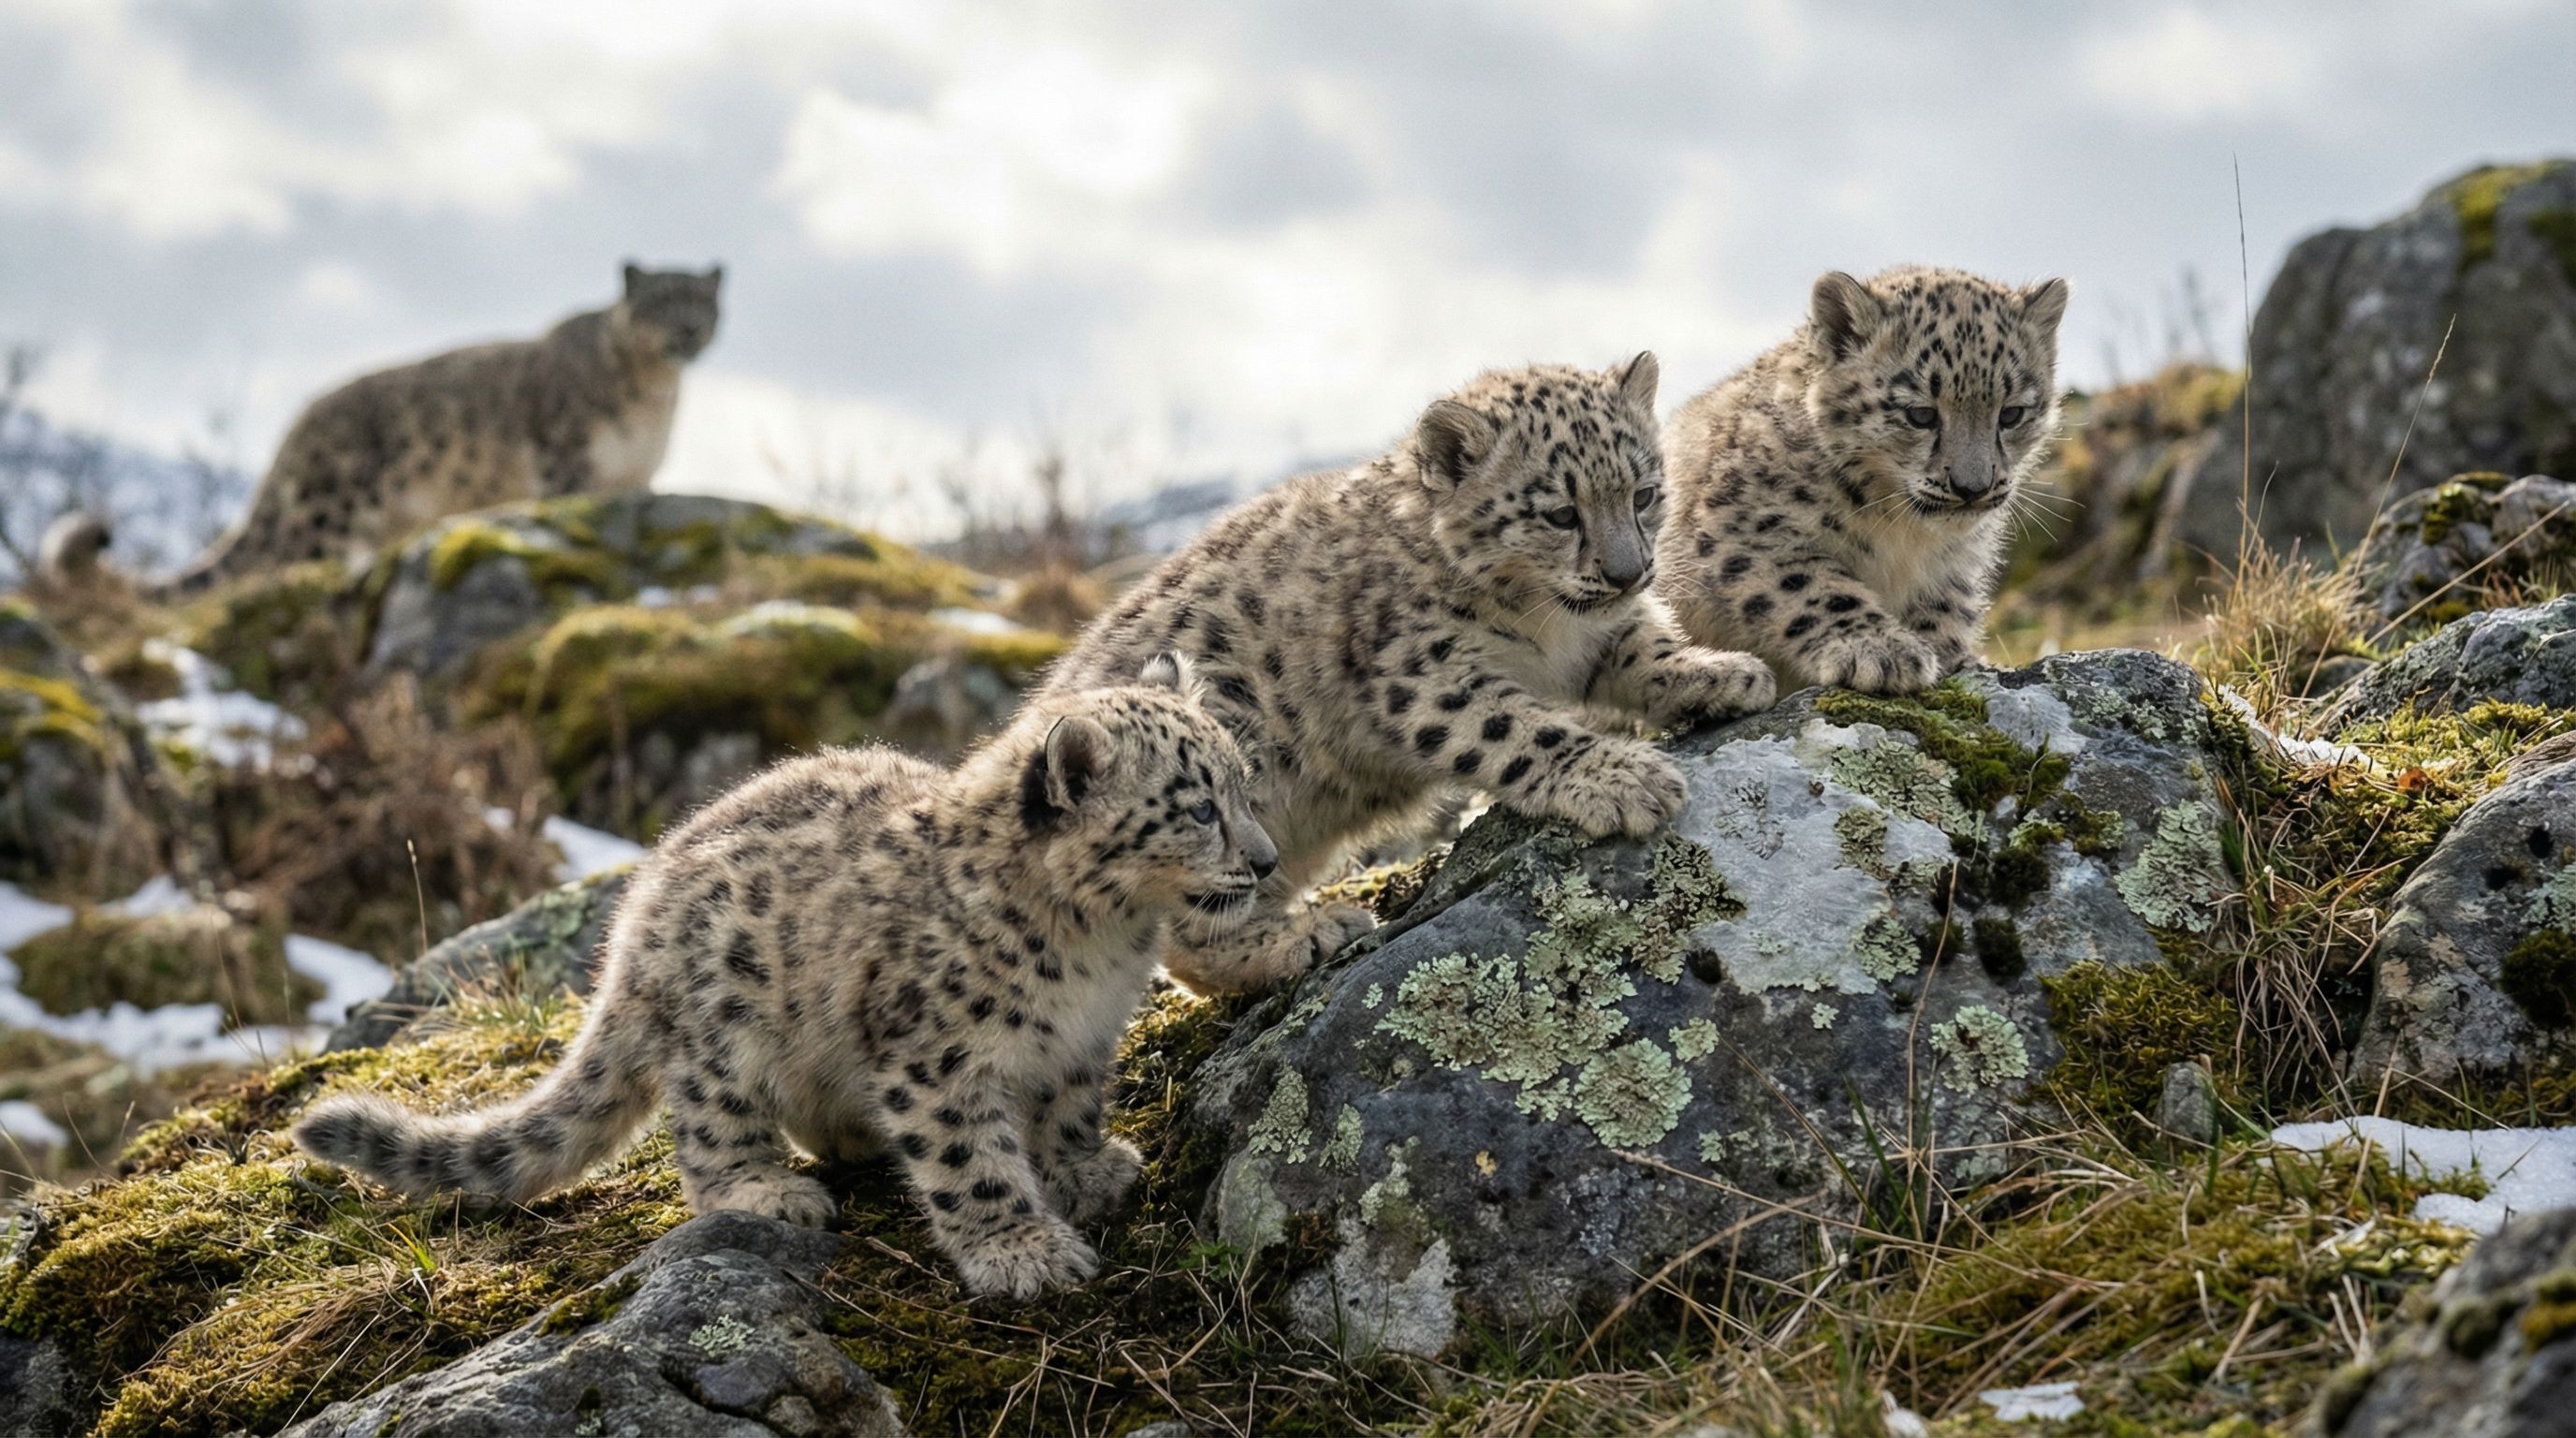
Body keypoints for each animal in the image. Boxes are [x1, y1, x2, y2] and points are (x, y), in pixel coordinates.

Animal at [41, 262, 721, 598]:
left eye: (702, 302)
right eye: (661, 301)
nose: (688, 330)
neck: (657, 396)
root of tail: (296, 429)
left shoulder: (636, 476)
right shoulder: (570, 465)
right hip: (327, 514)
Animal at [294, 654, 1272, 1300]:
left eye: (1245, 782)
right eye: (1197, 808)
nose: (1265, 861)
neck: (1102, 948)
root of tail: (635, 923)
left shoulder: (1081, 1041)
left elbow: (1067, 1108)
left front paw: (1082, 1171)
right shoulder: (938, 1058)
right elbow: (968, 1158)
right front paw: (1021, 1248)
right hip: (725, 1029)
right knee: (706, 1127)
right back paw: (766, 1190)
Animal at [1040, 355, 1777, 996]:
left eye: (1645, 494)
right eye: (1561, 513)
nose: (1630, 573)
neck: (1544, 626)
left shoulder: (1598, 637)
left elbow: (1643, 646)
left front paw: (1721, 673)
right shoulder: (1423, 675)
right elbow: (1519, 730)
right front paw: (1623, 777)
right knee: (1185, 936)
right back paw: (1304, 936)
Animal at [1656, 265, 2070, 695]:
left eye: (2011, 414)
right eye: (1921, 414)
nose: (1972, 488)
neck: (1903, 533)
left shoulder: (1954, 563)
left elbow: (1946, 603)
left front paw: (1953, 655)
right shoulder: (1751, 532)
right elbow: (1814, 587)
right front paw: (1879, 650)